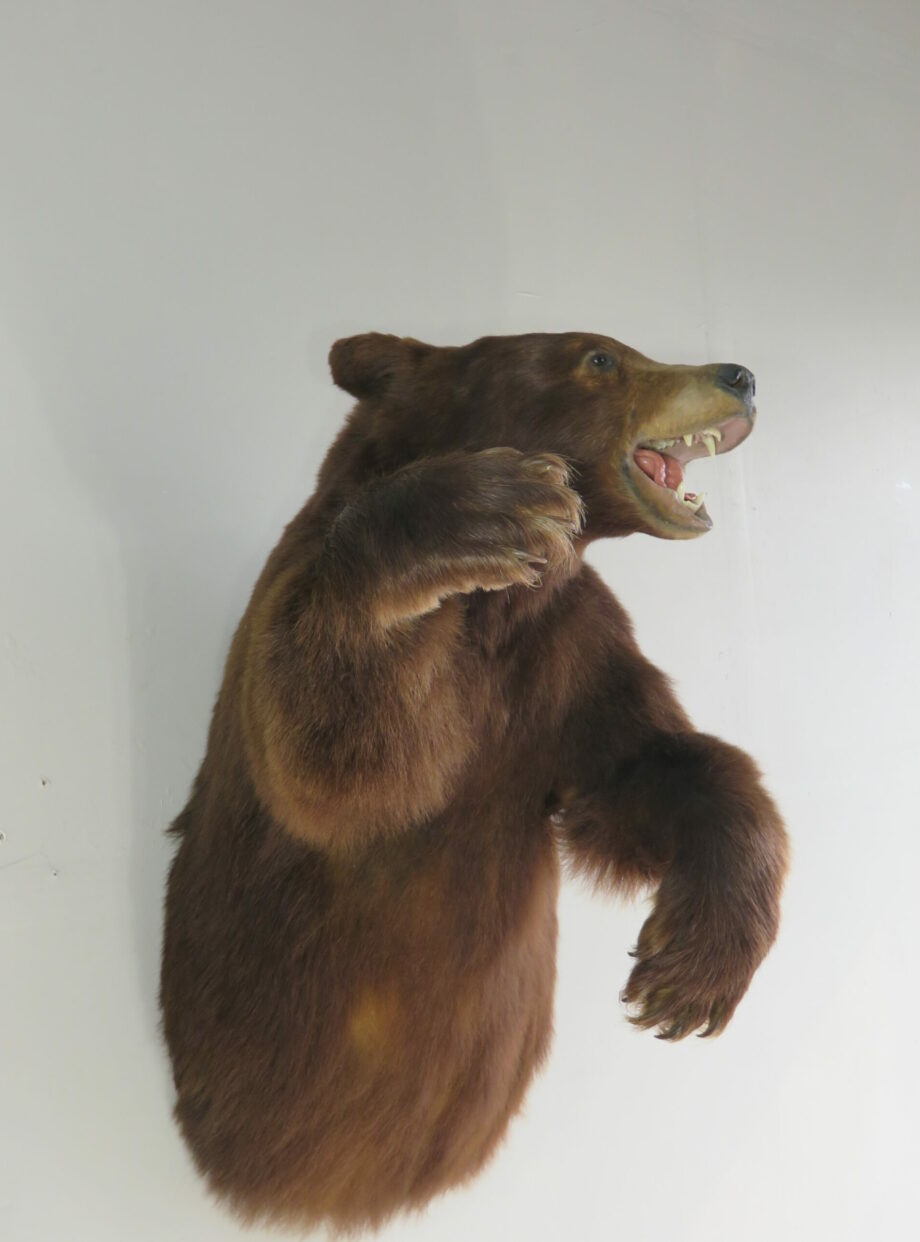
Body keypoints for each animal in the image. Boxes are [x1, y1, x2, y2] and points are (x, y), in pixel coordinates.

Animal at [159, 331, 789, 1233]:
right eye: (602, 358)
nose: (739, 374)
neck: (496, 614)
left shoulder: (566, 659)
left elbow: (651, 774)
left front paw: (688, 974)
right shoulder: (317, 615)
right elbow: (338, 752)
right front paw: (488, 505)